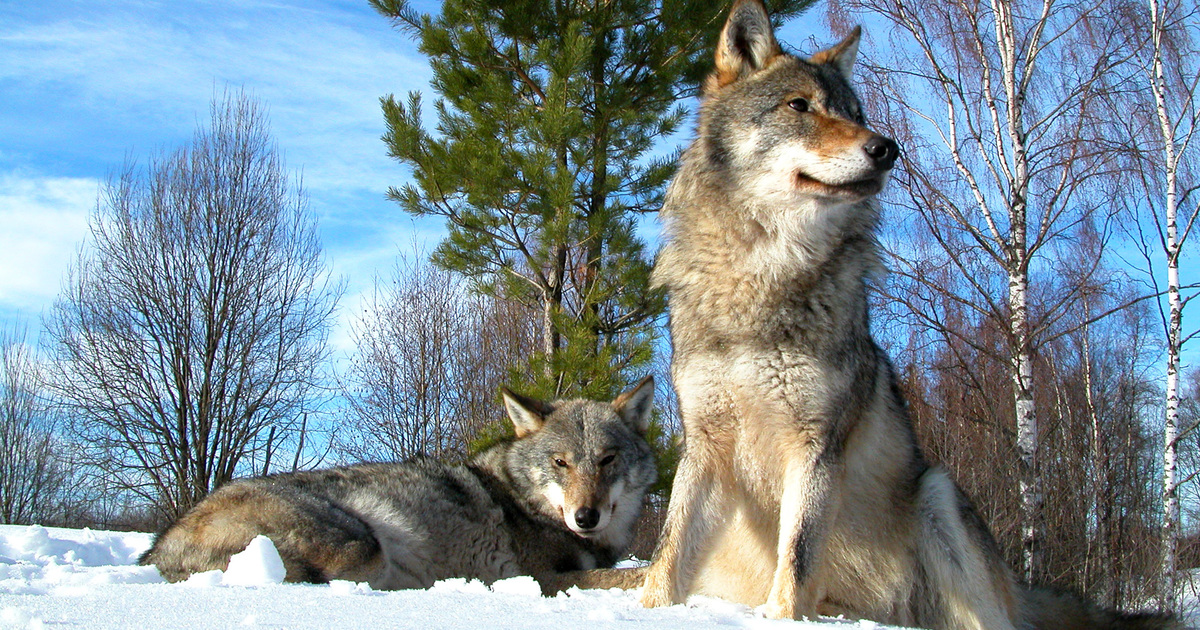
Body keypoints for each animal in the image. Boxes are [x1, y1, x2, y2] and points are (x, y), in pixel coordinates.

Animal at [140, 377, 657, 591]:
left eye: (607, 460)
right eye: (560, 463)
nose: (585, 517)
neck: (525, 503)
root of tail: (157, 549)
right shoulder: (540, 578)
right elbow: (629, 575)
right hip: (362, 544)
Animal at [620, 2, 1179, 629]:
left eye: (855, 114)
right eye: (800, 106)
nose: (886, 147)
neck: (761, 274)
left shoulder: (817, 445)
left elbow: (797, 556)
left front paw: (783, 617)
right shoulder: (704, 445)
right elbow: (668, 554)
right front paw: (647, 610)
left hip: (939, 494)